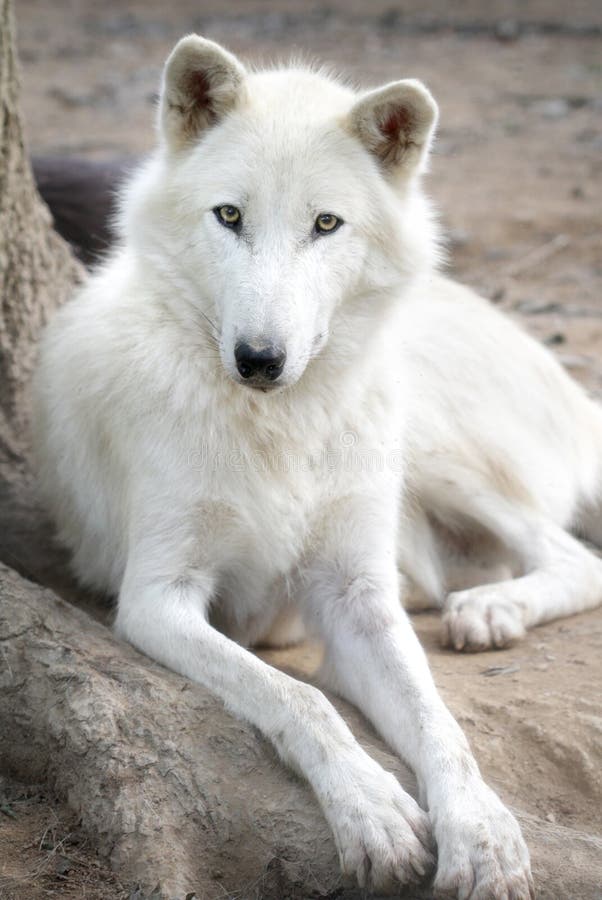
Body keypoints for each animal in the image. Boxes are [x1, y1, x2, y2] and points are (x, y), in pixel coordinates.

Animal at [33, 34, 602, 898]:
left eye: (326, 224)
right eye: (229, 215)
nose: (260, 359)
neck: (280, 428)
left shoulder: (355, 594)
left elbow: (441, 724)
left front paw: (483, 831)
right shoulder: (157, 599)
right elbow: (299, 696)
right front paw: (374, 813)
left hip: (429, 445)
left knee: (571, 555)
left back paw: (490, 610)